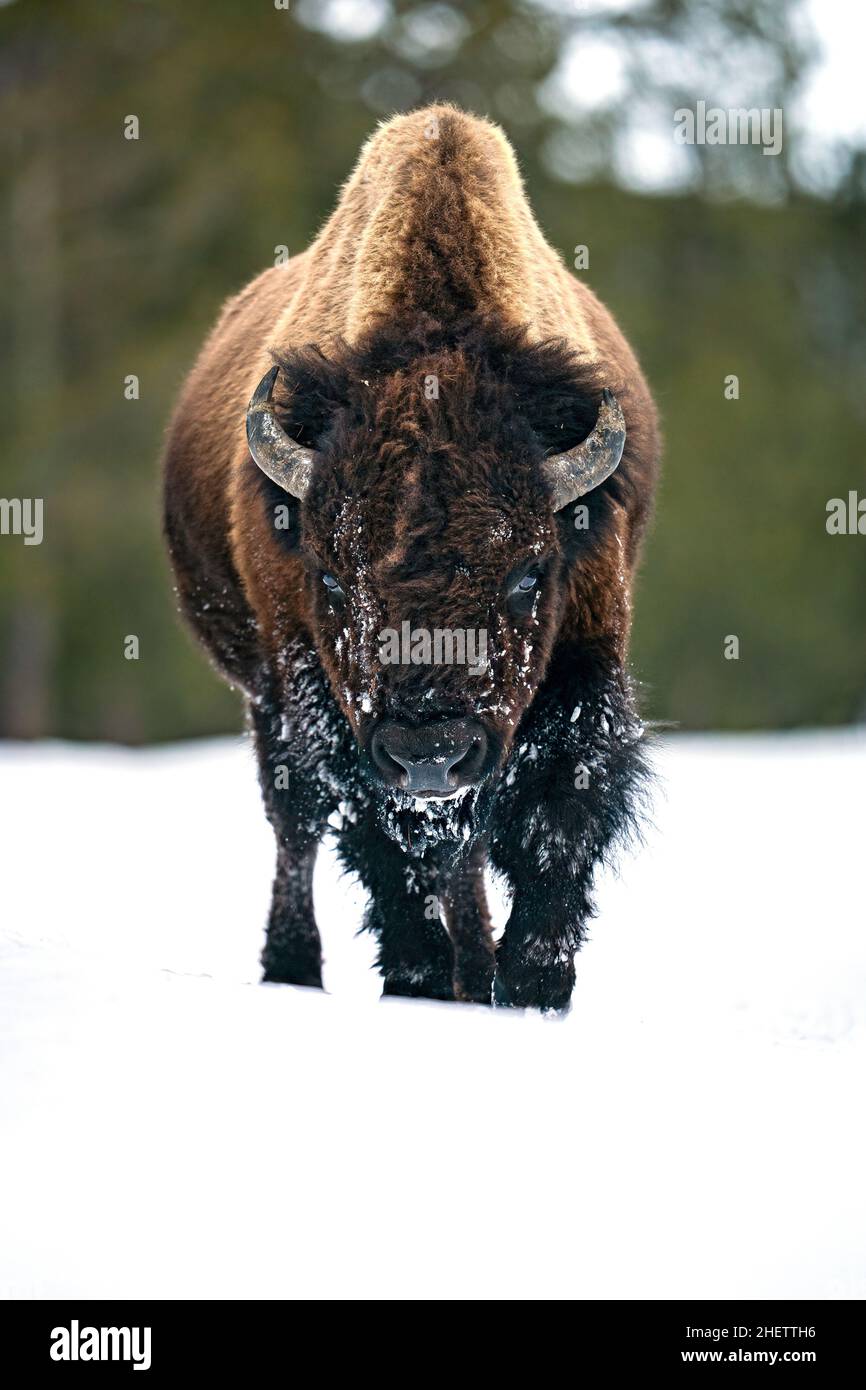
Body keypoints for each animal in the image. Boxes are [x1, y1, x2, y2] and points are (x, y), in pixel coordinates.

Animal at [163, 105, 660, 1012]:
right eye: (330, 575)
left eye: (530, 573)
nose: (429, 753)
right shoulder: (321, 695)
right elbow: (380, 842)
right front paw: (418, 977)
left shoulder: (587, 645)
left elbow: (556, 810)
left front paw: (533, 983)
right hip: (264, 698)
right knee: (297, 825)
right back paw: (297, 966)